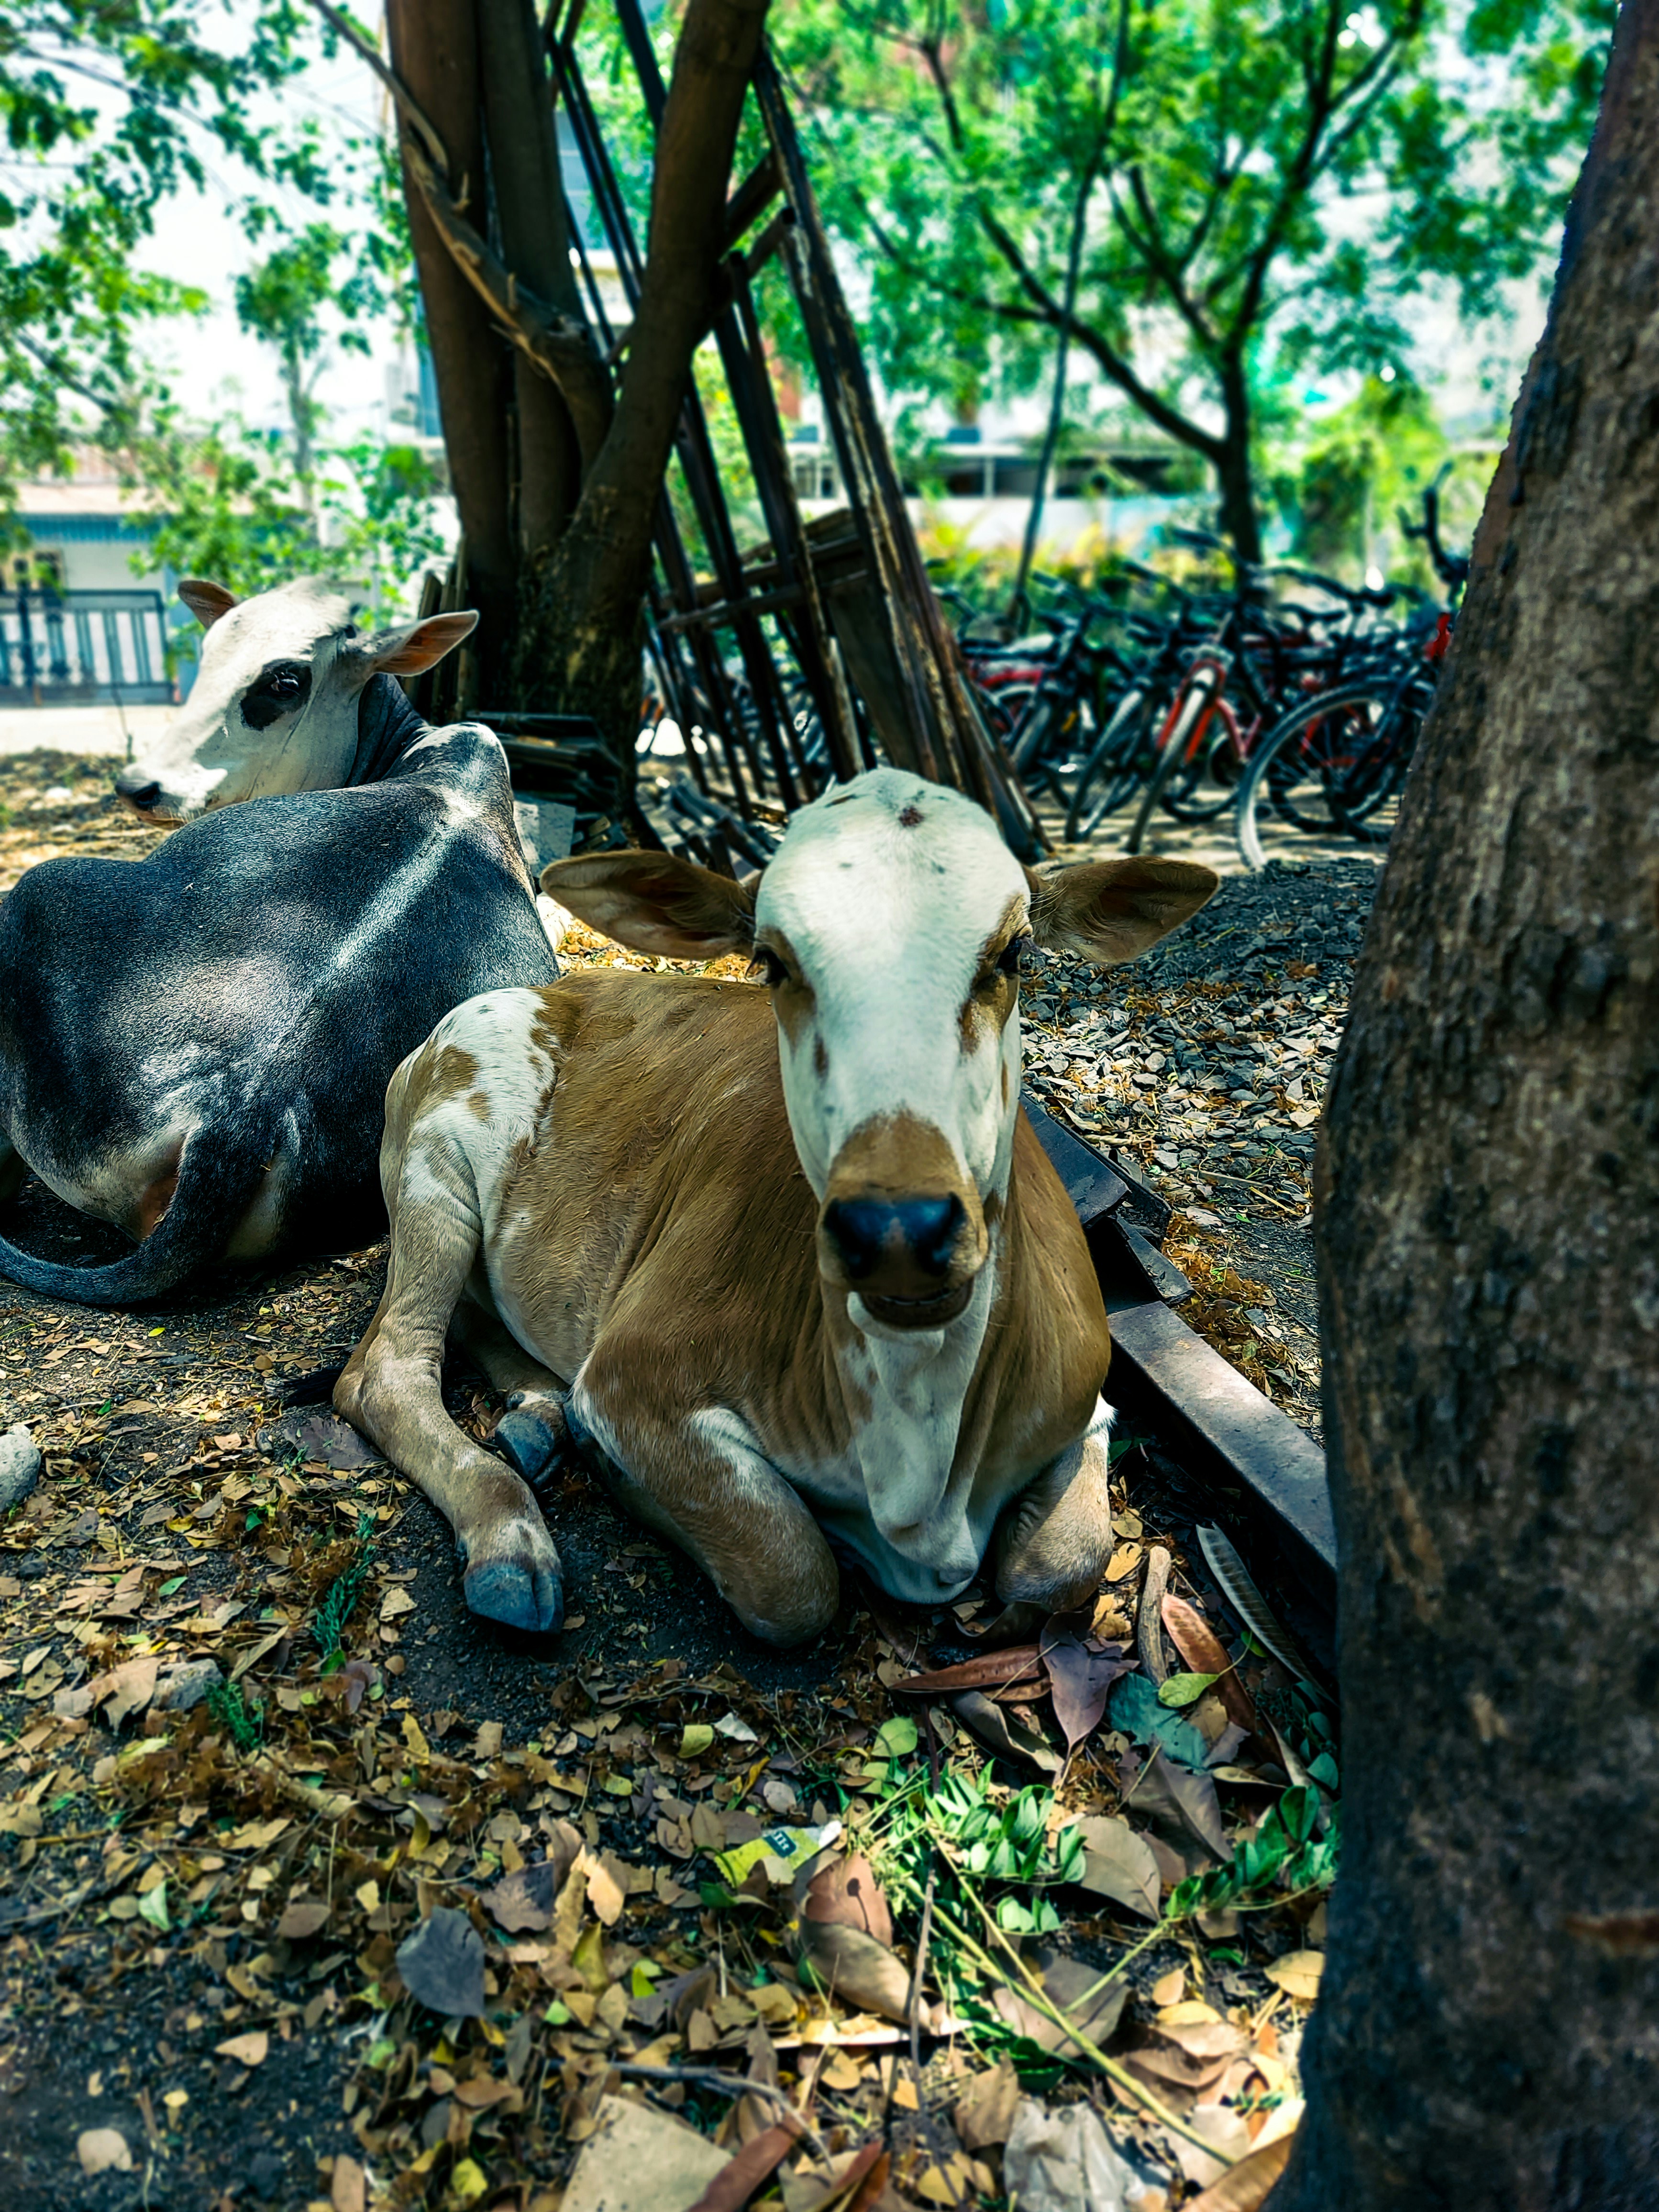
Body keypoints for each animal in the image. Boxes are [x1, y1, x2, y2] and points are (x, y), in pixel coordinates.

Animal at [335, 768, 1217, 1640]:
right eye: (771, 960)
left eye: (1015, 950)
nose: (896, 1230)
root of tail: (558, 984)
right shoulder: (635, 1370)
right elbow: (793, 1581)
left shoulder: (1082, 1394)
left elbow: (1061, 1564)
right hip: (437, 1155)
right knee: (384, 1369)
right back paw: (510, 1544)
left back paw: (537, 1417)